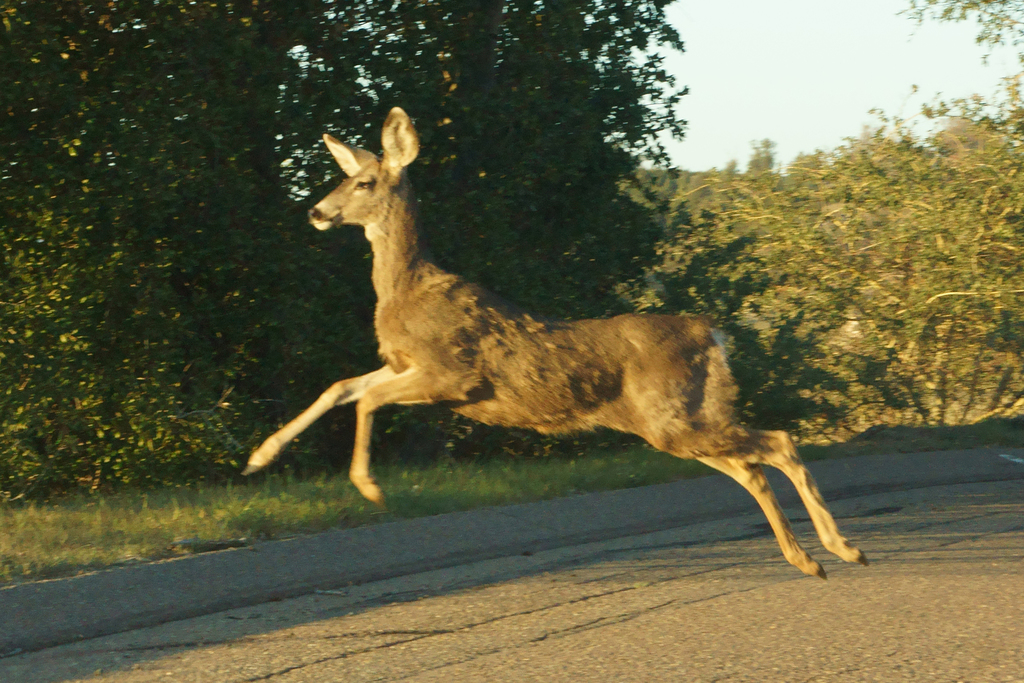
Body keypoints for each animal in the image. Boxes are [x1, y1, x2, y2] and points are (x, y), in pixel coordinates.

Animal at [243, 107, 868, 579]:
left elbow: (366, 399)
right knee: (752, 468)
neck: (405, 289)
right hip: (677, 423)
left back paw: (842, 549)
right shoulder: (401, 365)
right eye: (343, 177)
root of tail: (710, 332)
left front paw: (369, 488)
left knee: (779, 442)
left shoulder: (454, 372)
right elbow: (340, 387)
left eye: (364, 182)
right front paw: (260, 455)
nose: (316, 210)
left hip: (675, 417)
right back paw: (809, 560)